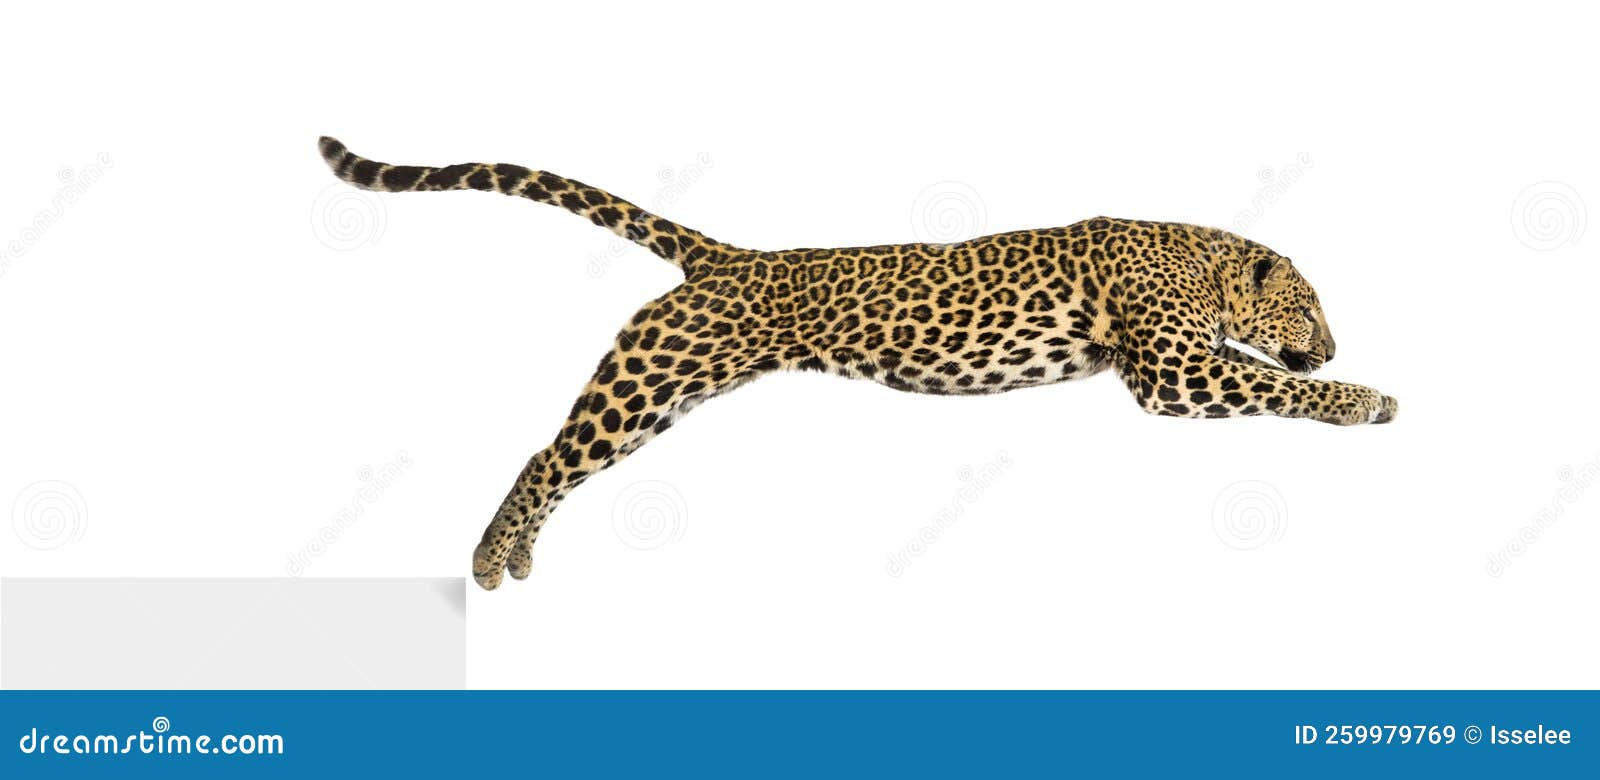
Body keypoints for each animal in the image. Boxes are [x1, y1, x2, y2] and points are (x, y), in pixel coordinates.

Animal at [317, 137, 1398, 590]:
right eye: (1311, 306)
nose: (1336, 340)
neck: (1200, 257)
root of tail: (729, 257)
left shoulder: (1187, 360)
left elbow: (1265, 376)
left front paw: (1354, 386)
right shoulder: (1174, 371)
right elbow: (1274, 383)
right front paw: (1365, 397)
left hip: (666, 392)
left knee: (558, 457)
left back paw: (513, 554)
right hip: (646, 378)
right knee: (548, 454)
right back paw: (488, 558)